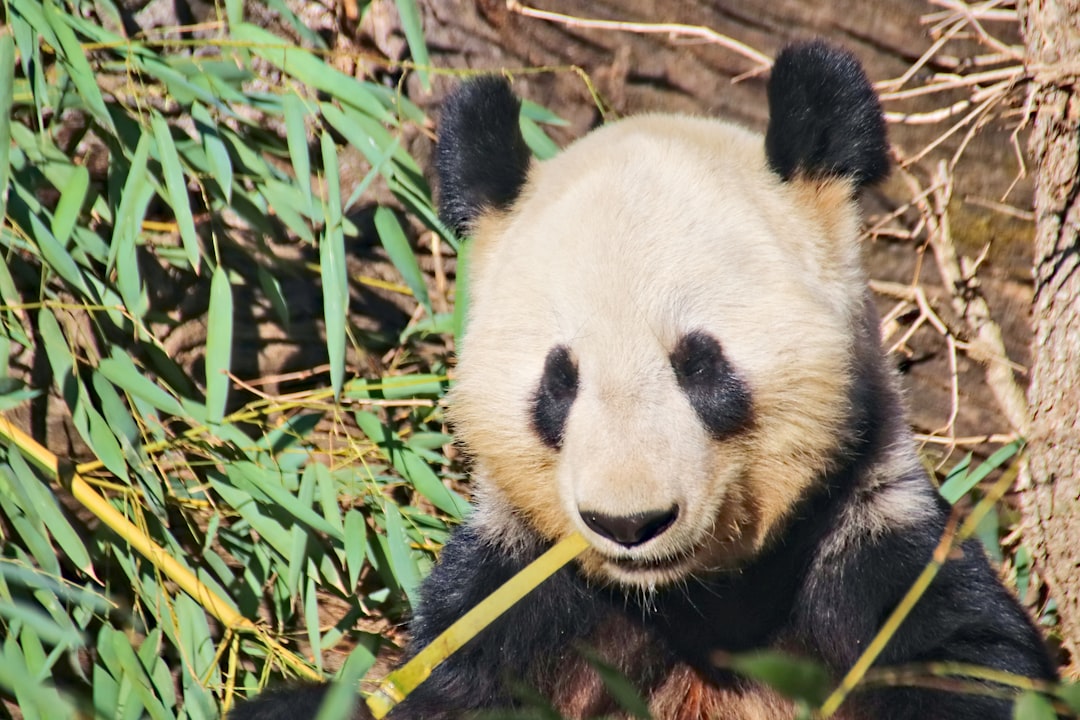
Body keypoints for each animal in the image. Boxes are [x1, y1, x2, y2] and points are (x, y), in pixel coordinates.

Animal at [232, 41, 1054, 719]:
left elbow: (967, 668)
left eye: (700, 364)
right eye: (559, 382)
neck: (687, 596)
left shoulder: (867, 549)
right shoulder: (521, 598)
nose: (629, 523)